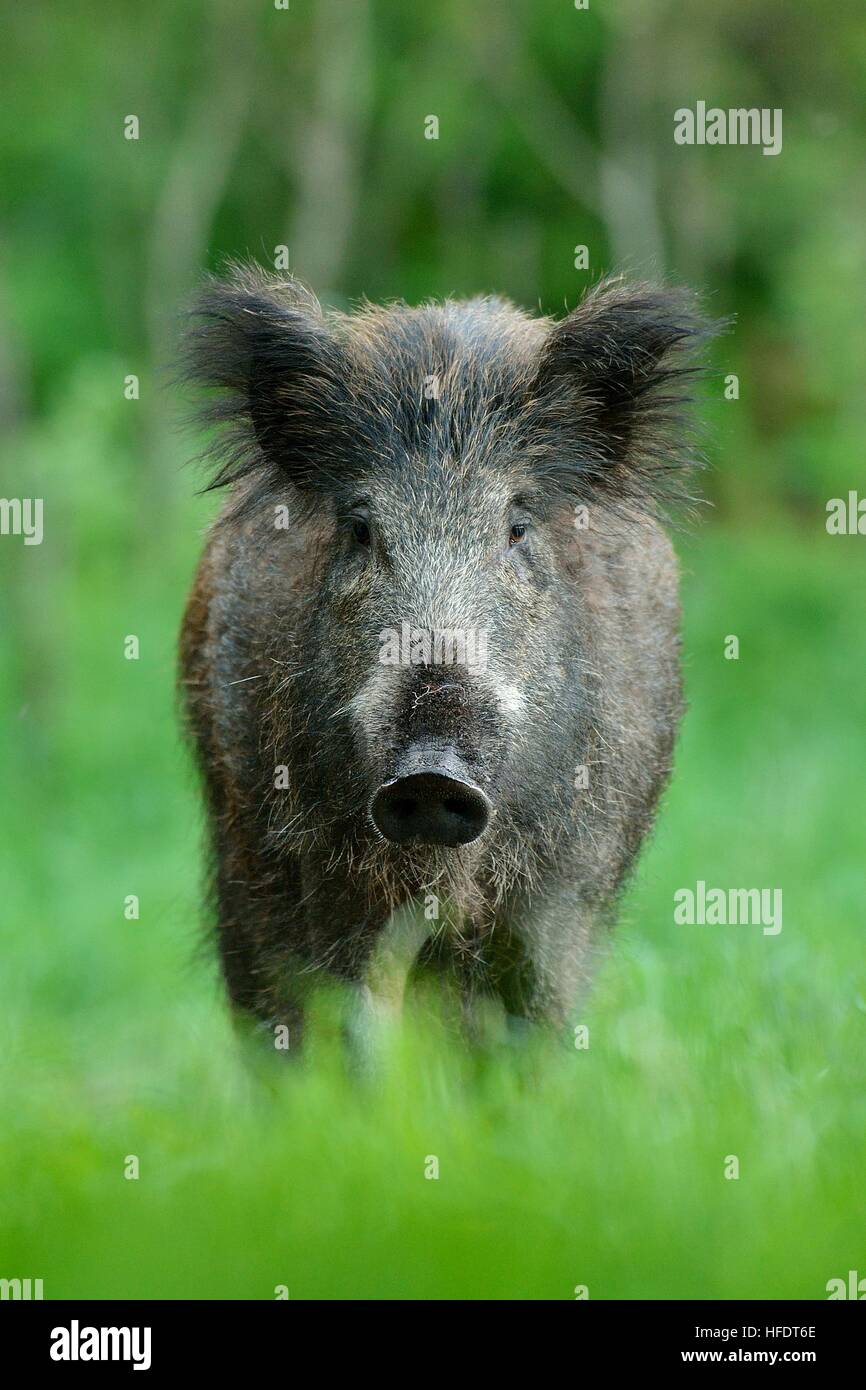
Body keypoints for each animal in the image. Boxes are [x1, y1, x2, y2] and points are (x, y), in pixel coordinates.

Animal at [179, 264, 718, 1045]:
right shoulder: (314, 873)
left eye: (517, 527)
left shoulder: (568, 884)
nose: (431, 774)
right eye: (362, 529)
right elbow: (350, 1020)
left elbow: (522, 1021)